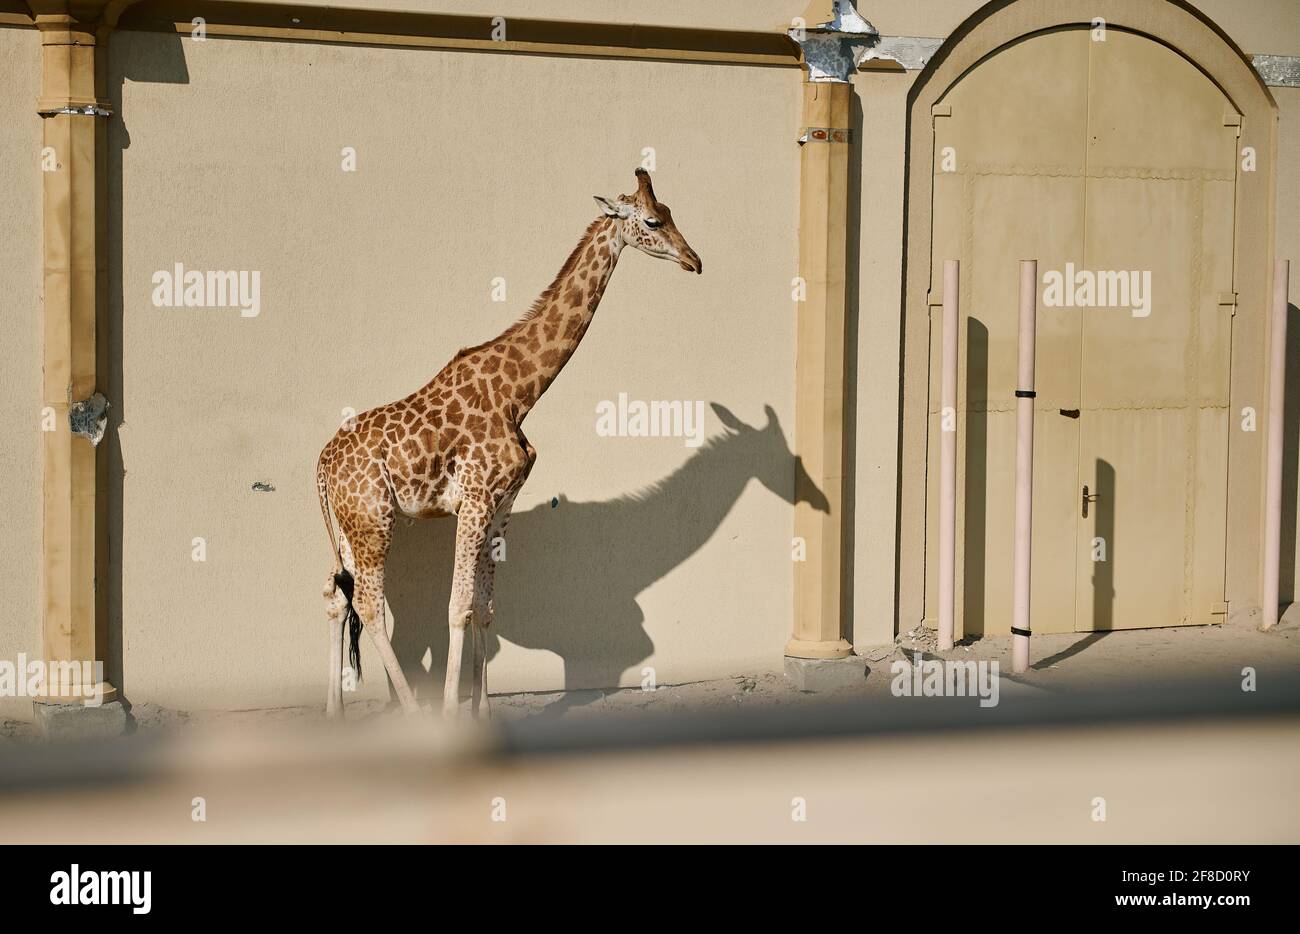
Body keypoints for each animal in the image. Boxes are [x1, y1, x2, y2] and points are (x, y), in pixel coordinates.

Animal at [316, 168, 702, 719]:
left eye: (669, 213)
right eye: (652, 220)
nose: (695, 260)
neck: (520, 395)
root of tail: (321, 465)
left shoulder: (501, 505)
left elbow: (484, 608)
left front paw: (482, 712)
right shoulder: (475, 500)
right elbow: (457, 607)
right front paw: (452, 715)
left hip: (348, 526)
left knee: (334, 597)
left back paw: (334, 714)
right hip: (374, 522)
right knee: (368, 606)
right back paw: (411, 712)